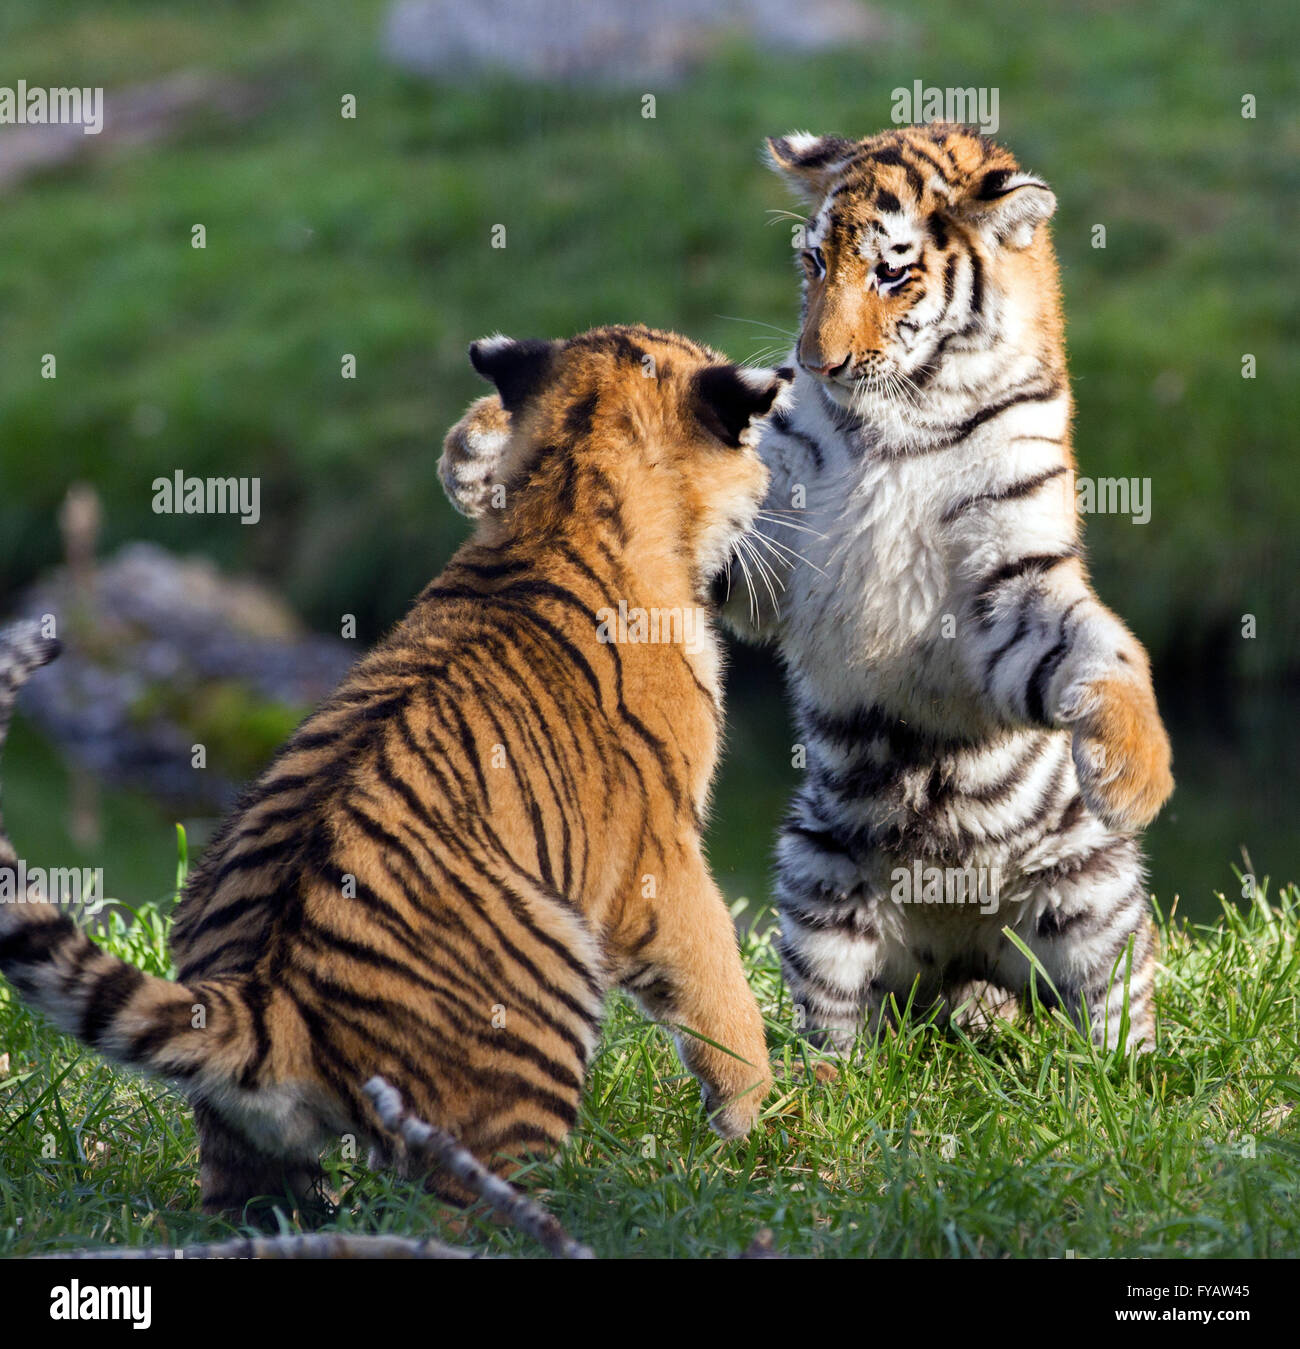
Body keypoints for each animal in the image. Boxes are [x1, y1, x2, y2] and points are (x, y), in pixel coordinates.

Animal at [0, 325, 789, 1217]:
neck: (565, 494)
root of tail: (268, 998)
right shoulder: (662, 851)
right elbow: (716, 975)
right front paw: (751, 1107)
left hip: (246, 1143)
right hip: (539, 1016)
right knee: (470, 1201)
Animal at [438, 126, 1174, 1055]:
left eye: (893, 274)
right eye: (816, 261)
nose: (819, 363)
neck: (905, 420)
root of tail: (966, 958)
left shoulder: (1003, 580)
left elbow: (1097, 648)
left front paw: (1136, 775)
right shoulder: (767, 541)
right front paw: (478, 444)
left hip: (1091, 887)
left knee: (1110, 1013)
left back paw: (1128, 1069)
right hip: (817, 873)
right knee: (841, 1023)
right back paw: (832, 1071)